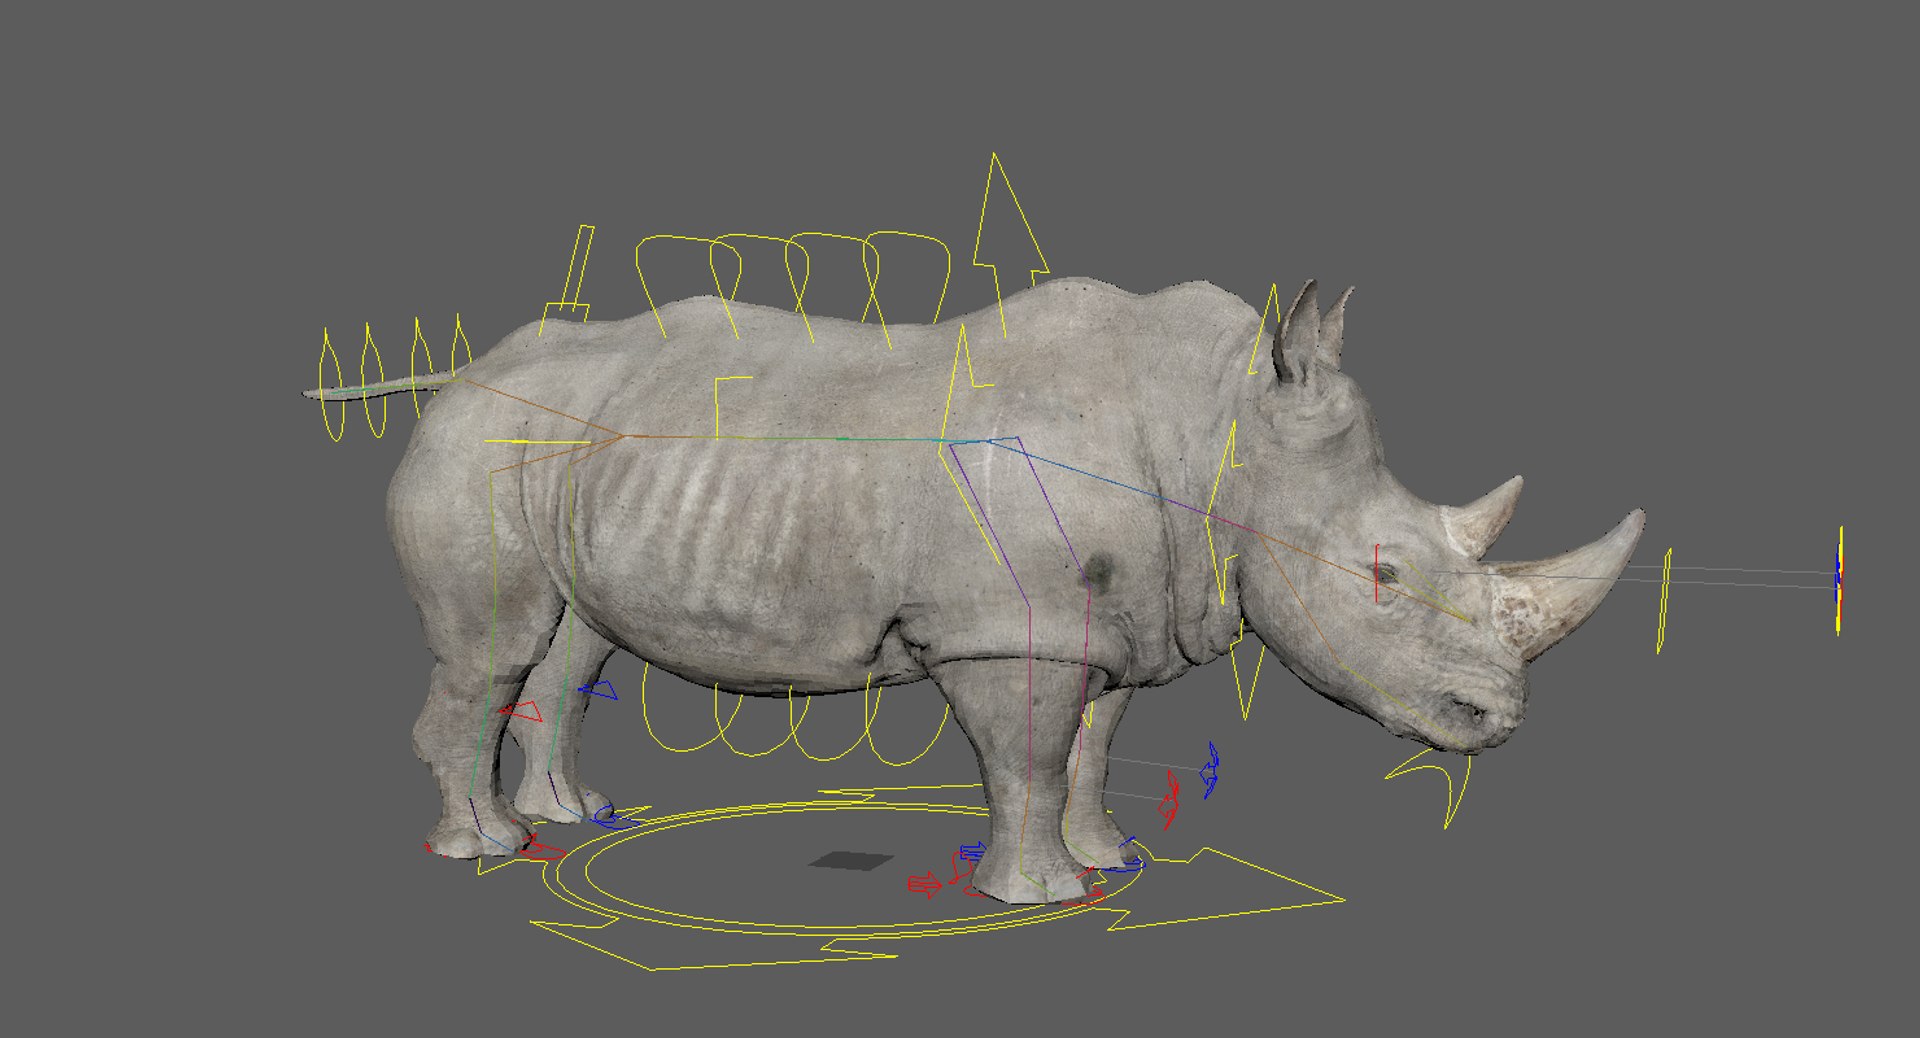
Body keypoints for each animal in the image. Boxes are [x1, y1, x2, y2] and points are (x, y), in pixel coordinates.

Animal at [311, 276, 1642, 903]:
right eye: (1385, 576)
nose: (1497, 723)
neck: (1221, 427)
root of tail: (461, 371)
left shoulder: (1118, 614)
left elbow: (1095, 749)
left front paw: (1111, 862)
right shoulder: (1014, 632)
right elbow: (1033, 759)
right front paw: (1042, 892)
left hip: (572, 450)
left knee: (570, 646)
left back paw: (577, 820)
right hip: (480, 447)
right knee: (491, 648)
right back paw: (484, 849)